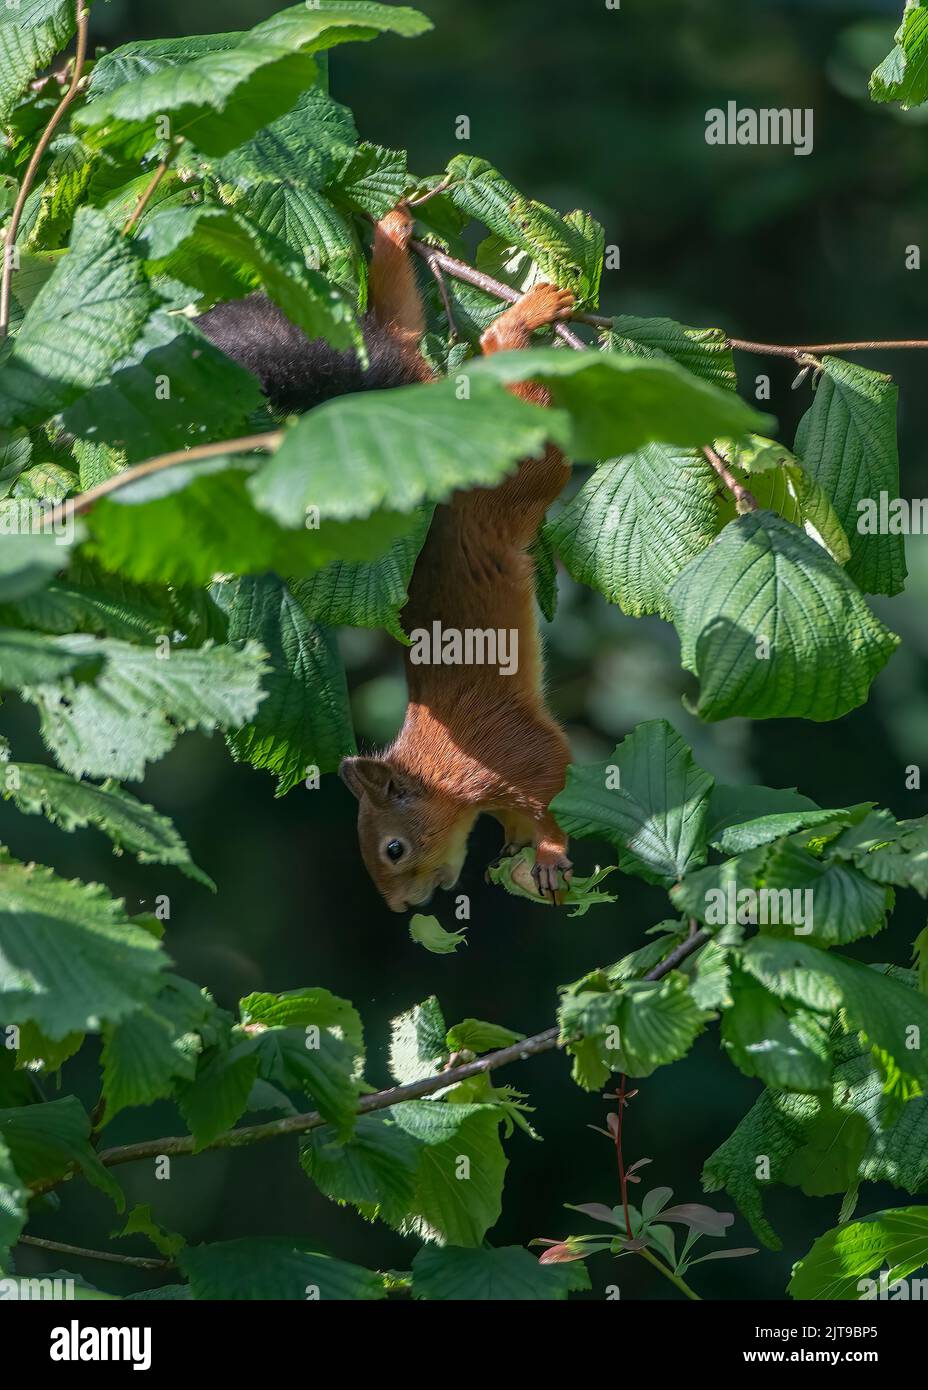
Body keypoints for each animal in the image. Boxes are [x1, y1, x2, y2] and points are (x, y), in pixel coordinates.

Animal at [197, 206, 575, 912]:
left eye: (393, 848)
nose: (403, 907)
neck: (439, 772)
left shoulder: (507, 754)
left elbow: (555, 778)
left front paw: (547, 851)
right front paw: (518, 842)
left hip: (523, 460)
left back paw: (519, 318)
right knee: (411, 325)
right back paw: (395, 232)